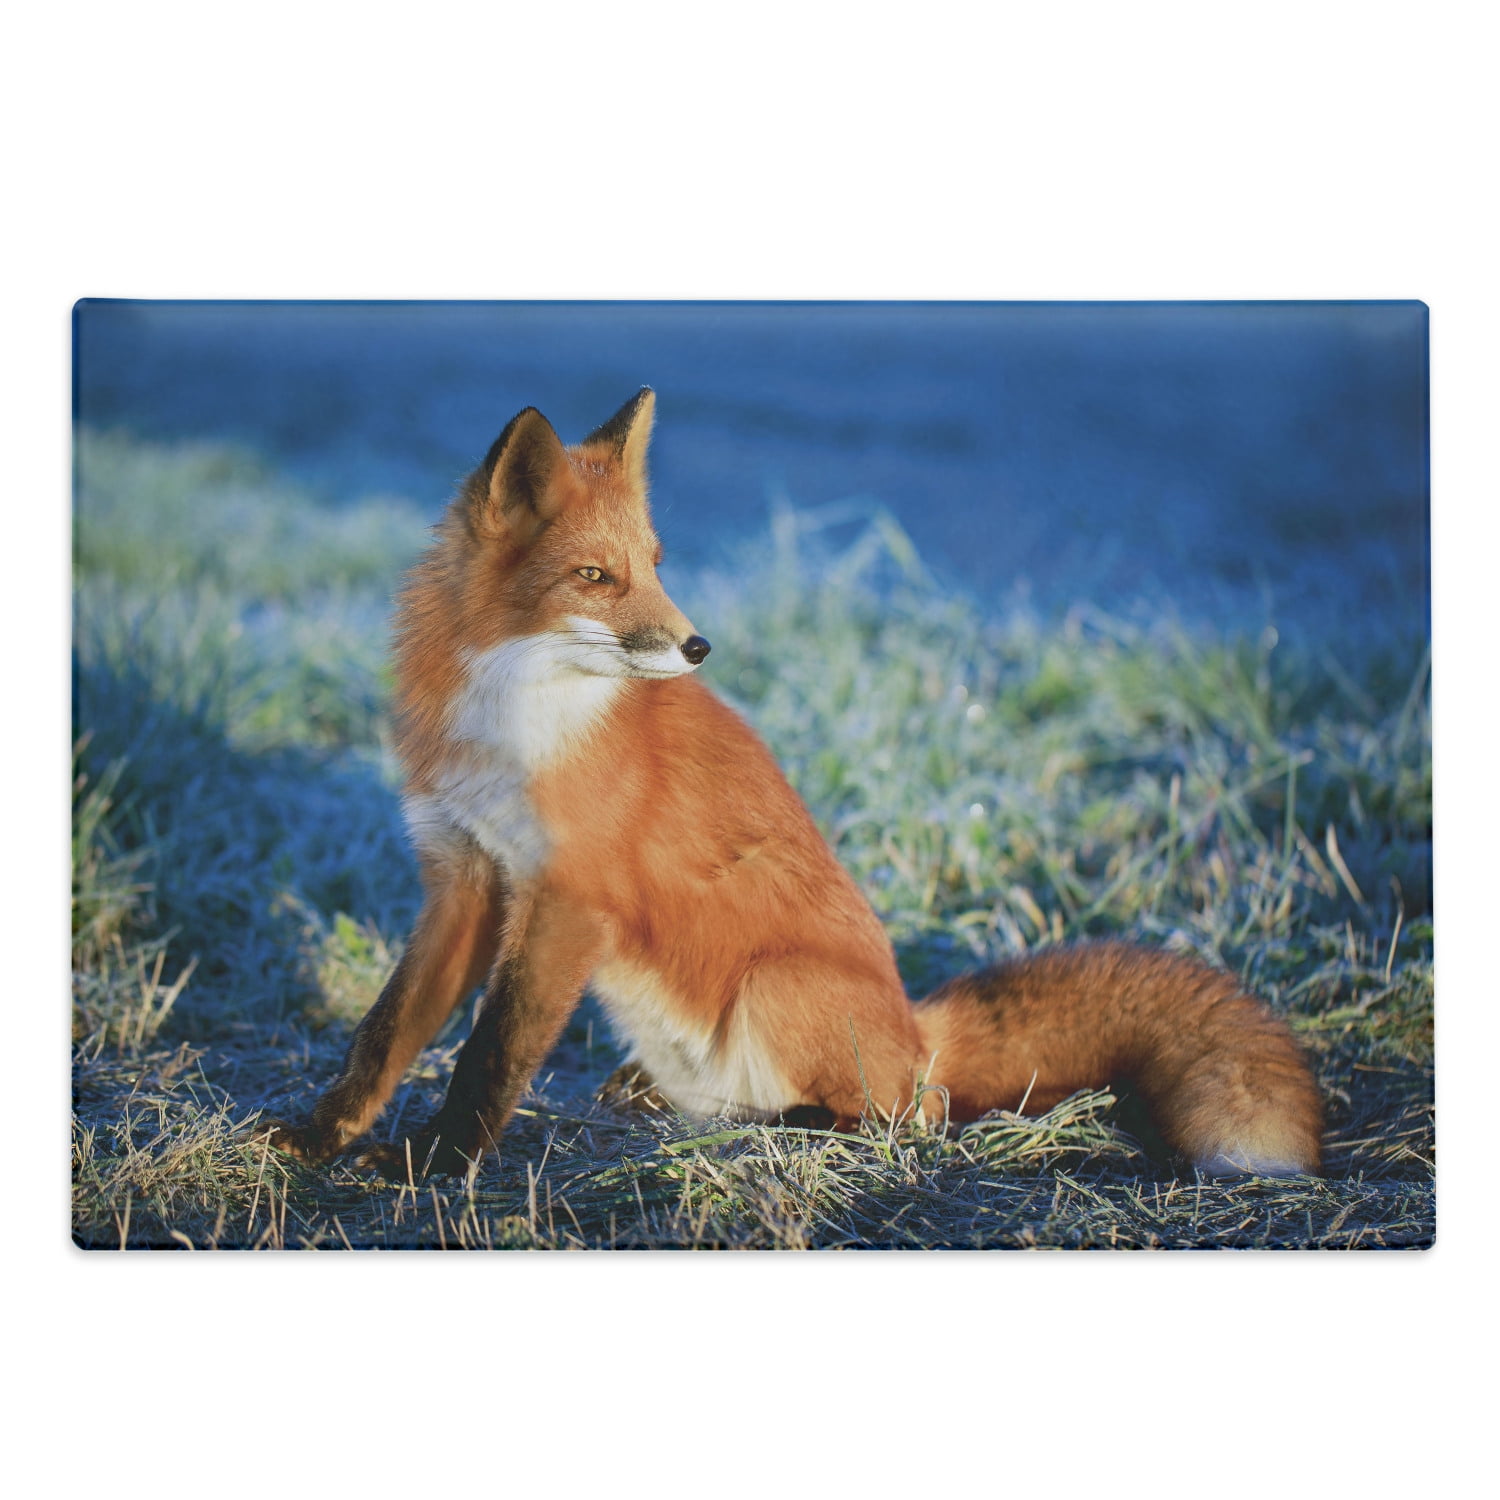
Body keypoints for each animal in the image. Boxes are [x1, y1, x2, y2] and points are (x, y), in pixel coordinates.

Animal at [266, 389, 1323, 1180]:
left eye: (656, 564)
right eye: (597, 576)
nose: (696, 646)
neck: (513, 720)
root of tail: (916, 1028)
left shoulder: (567, 897)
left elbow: (495, 1053)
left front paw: (435, 1165)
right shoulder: (463, 877)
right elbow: (385, 1032)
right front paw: (322, 1137)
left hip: (776, 984)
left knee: (903, 1118)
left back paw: (785, 1127)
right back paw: (664, 1098)